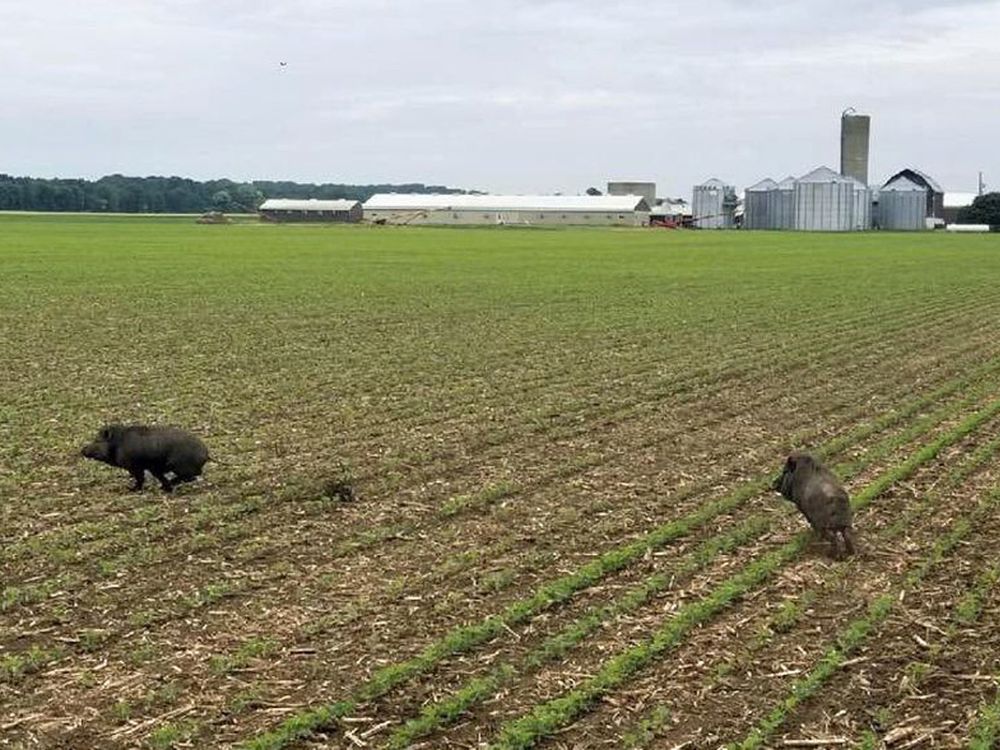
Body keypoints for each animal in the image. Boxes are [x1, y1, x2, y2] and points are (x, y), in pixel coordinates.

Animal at [81, 424, 210, 493]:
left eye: (97, 440)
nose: (82, 450)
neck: (117, 445)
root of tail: (205, 453)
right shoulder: (152, 468)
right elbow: (158, 477)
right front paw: (163, 487)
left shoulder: (135, 467)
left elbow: (140, 479)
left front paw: (132, 489)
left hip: (178, 466)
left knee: (193, 476)